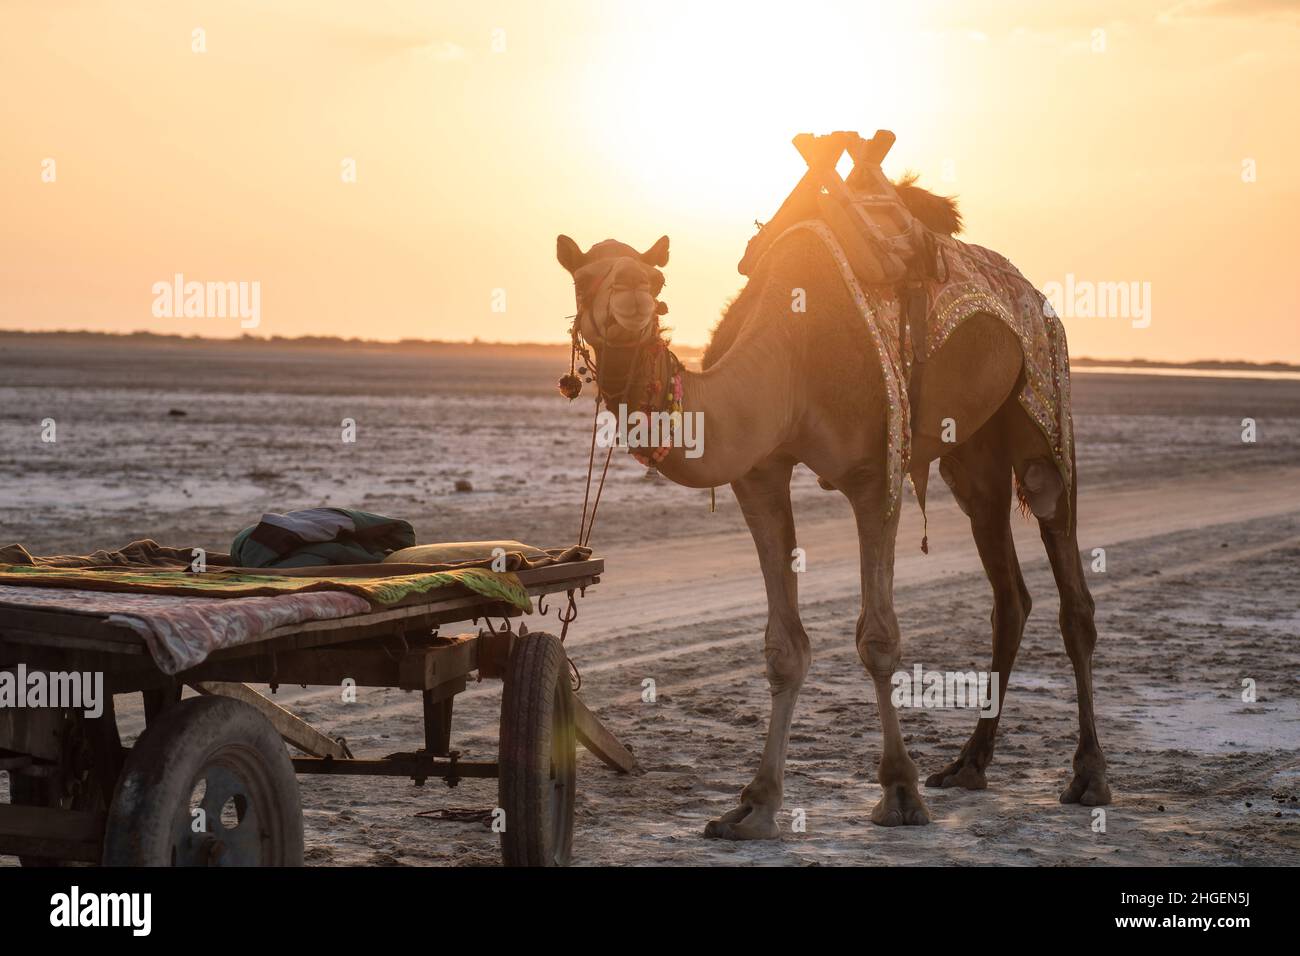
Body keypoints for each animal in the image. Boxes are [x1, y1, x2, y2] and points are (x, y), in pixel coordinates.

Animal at [554, 181, 1110, 840]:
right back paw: (968, 765)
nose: (634, 303)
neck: (790, 353)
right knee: (1009, 595)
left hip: (1047, 394)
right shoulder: (758, 475)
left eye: (657, 280)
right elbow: (784, 648)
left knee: (1067, 572)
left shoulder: (876, 475)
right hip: (974, 454)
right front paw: (754, 805)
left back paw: (1089, 776)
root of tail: (1033, 293)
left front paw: (899, 792)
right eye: (584, 279)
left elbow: (878, 639)